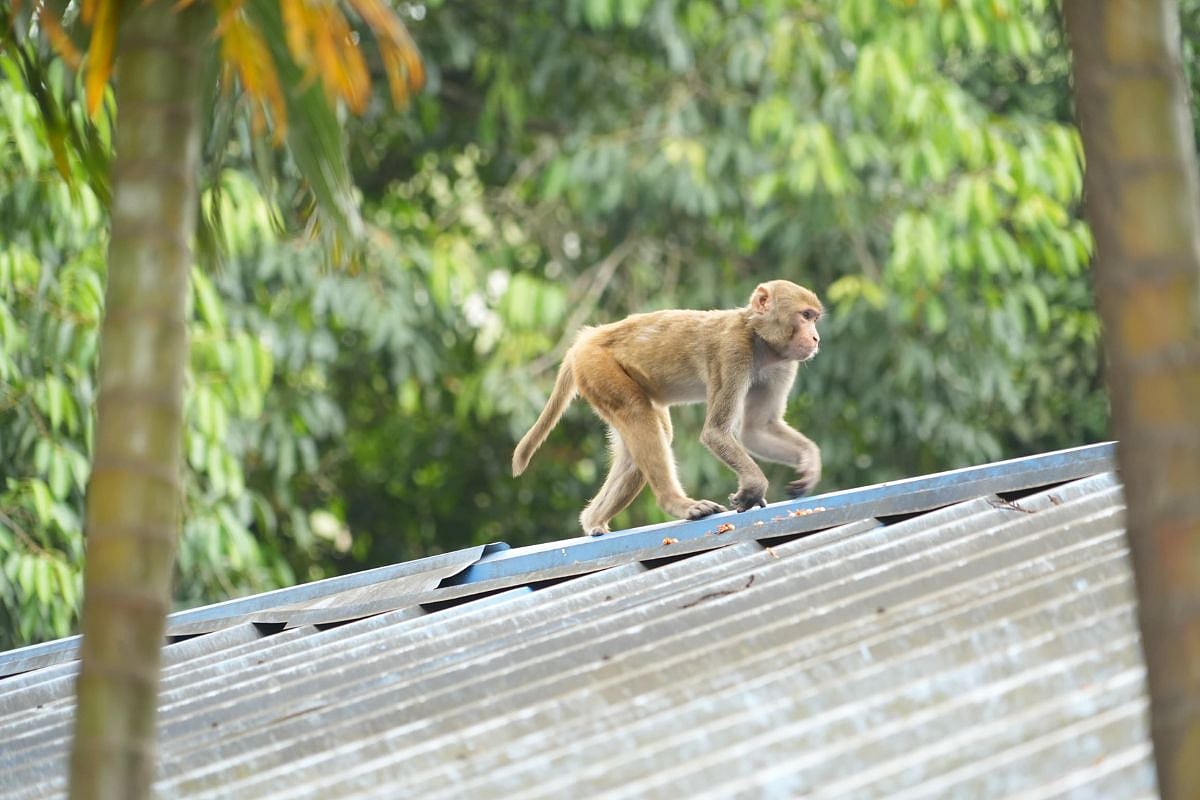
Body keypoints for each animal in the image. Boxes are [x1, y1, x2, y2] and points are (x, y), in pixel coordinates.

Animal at [512, 279, 824, 537]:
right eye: (805, 316)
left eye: (814, 317)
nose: (816, 338)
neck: (758, 337)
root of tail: (586, 338)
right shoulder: (733, 352)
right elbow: (715, 432)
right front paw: (753, 486)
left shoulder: (782, 365)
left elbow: (757, 430)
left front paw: (809, 461)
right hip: (597, 365)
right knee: (638, 414)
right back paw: (676, 503)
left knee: (641, 441)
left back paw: (593, 520)